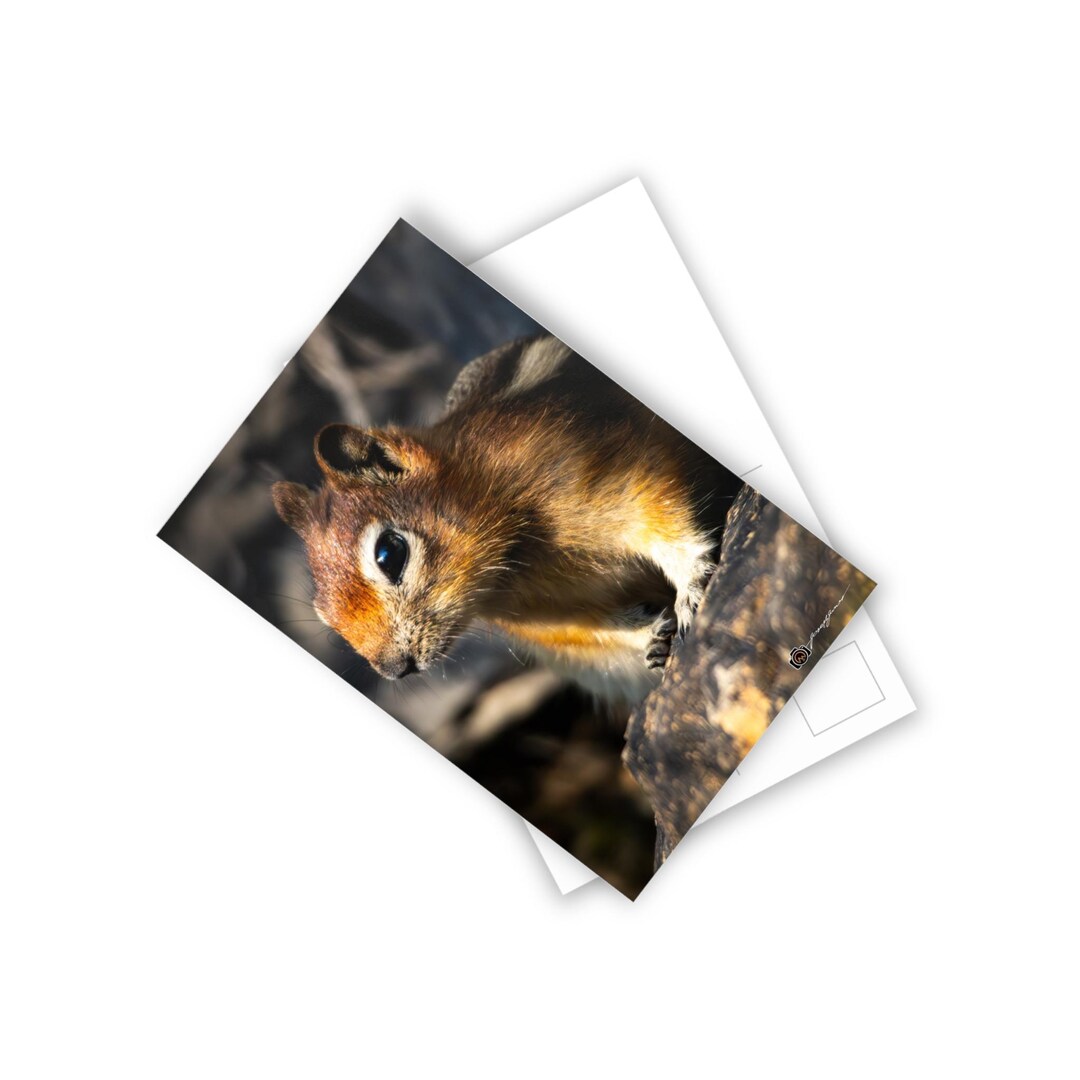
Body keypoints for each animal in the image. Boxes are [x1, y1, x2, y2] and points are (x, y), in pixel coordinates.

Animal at [273, 335, 741, 704]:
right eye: (324, 617)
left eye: (389, 553)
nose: (395, 669)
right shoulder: (540, 621)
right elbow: (587, 632)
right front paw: (647, 636)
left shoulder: (622, 475)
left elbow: (665, 521)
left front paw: (692, 586)